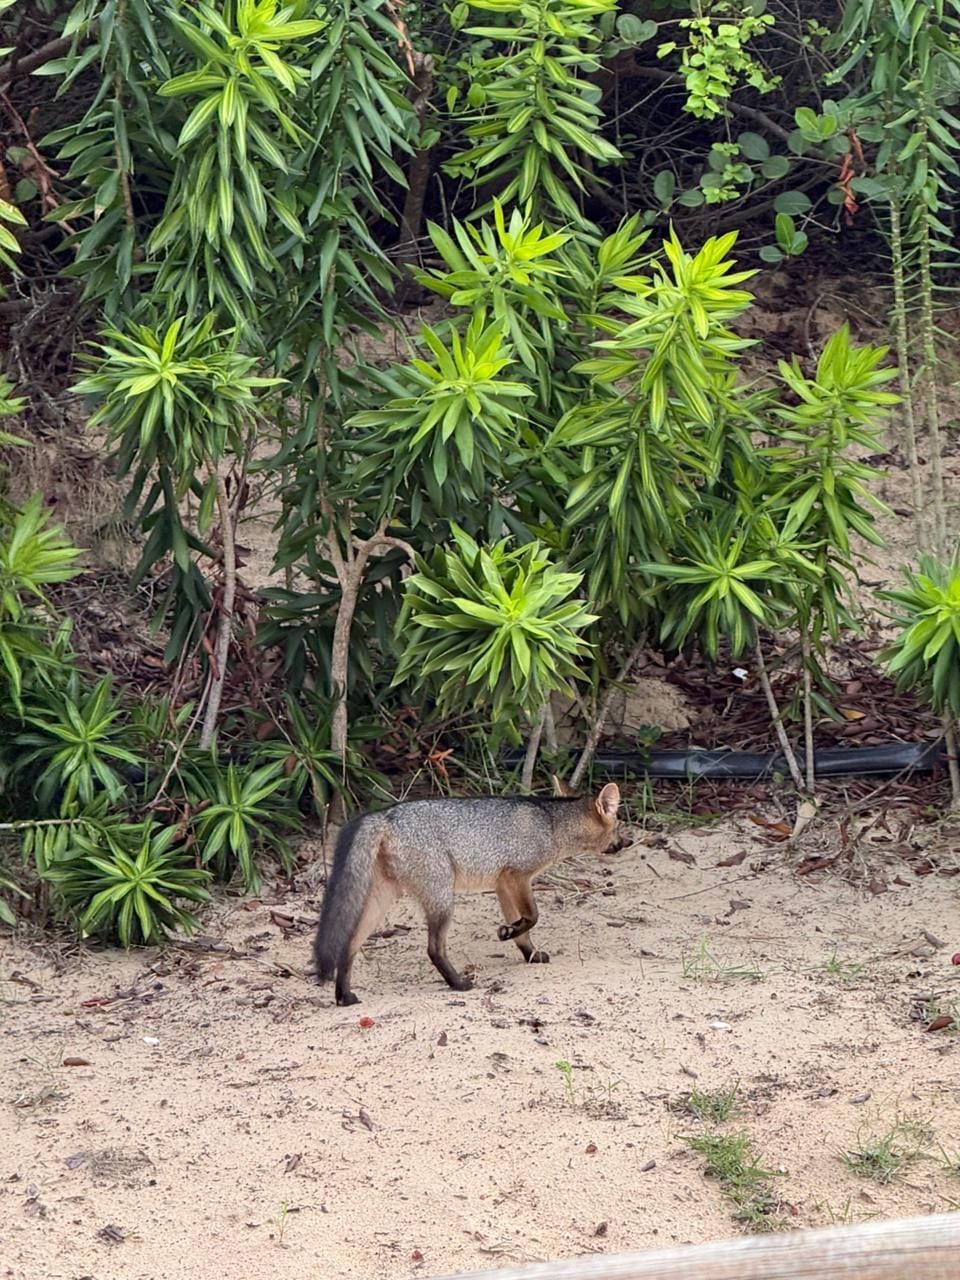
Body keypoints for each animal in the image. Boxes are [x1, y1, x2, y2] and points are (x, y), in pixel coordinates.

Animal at [312, 778, 626, 1005]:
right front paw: (509, 933)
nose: (625, 843)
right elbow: (533, 916)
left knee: (348, 945)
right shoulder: (517, 876)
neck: (551, 824)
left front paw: (528, 951)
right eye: (618, 826)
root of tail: (386, 815)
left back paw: (344, 996)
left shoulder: (502, 884)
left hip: (381, 901)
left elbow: (523, 929)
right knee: (434, 949)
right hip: (442, 899)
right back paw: (459, 984)